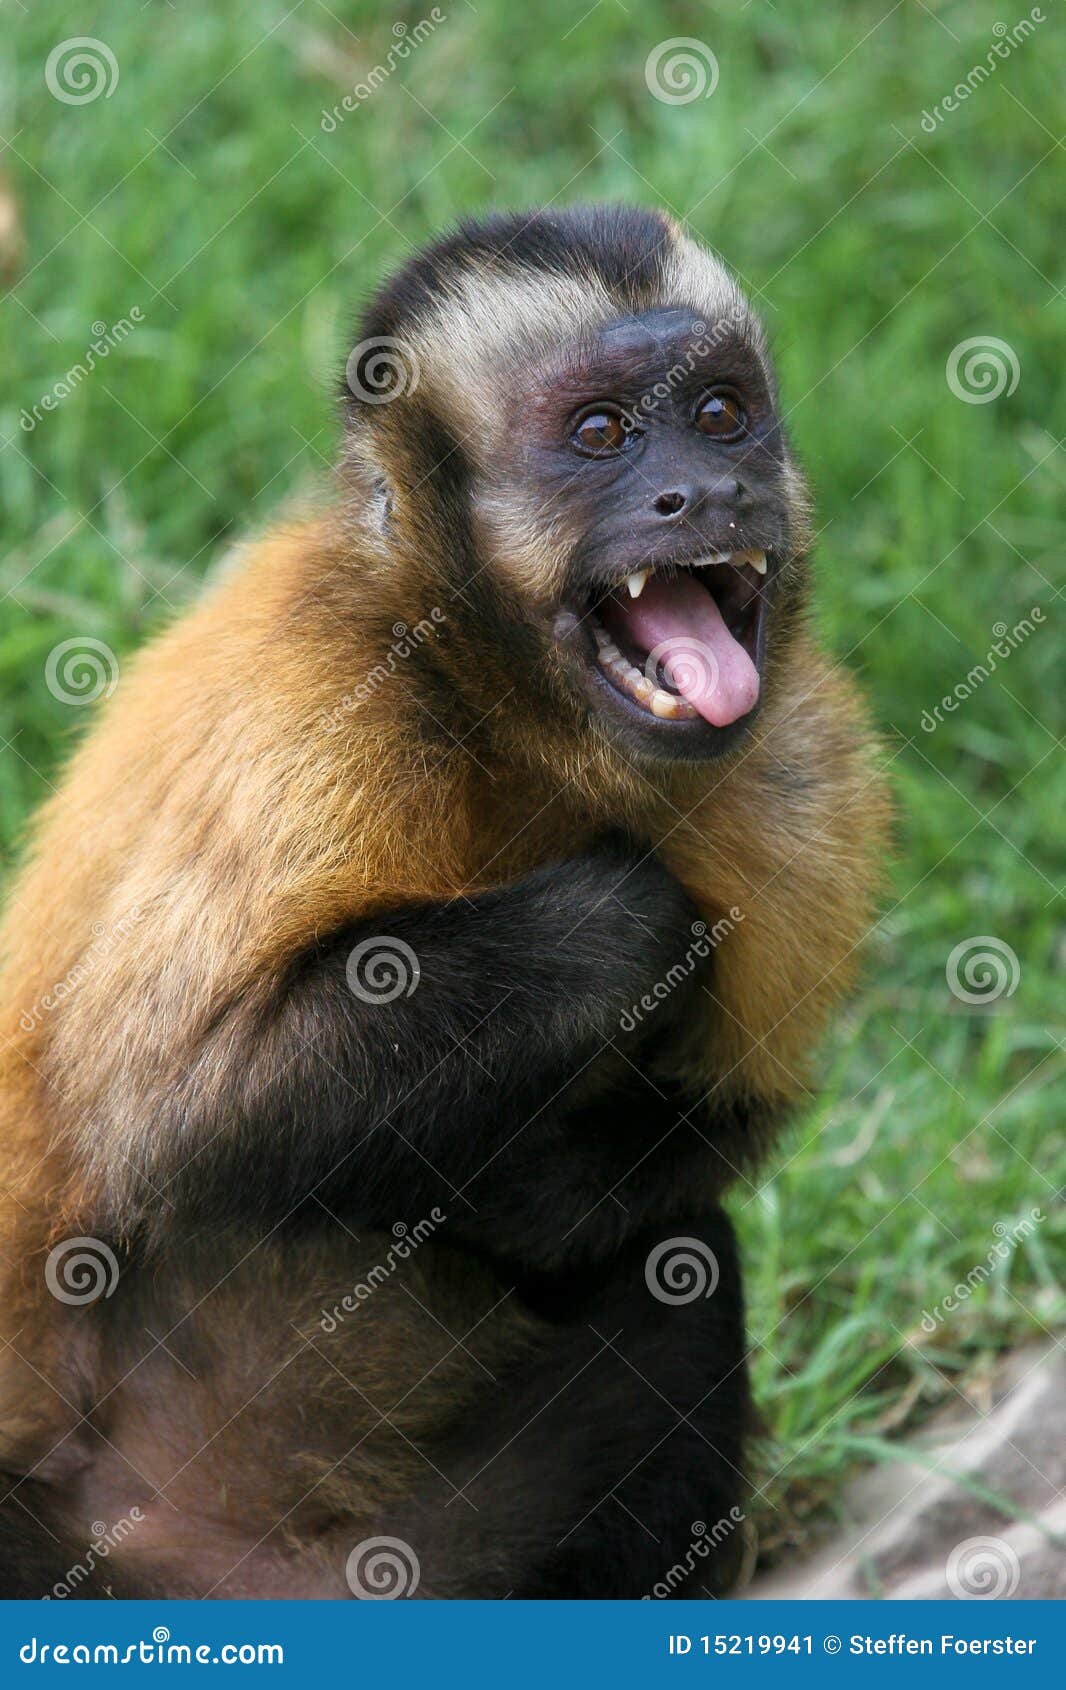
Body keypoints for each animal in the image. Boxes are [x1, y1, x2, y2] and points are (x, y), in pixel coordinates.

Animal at [0, 204, 888, 1599]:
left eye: (721, 412)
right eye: (601, 435)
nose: (709, 490)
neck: (518, 725)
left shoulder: (806, 783)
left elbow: (706, 1135)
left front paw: (520, 1196)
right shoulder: (327, 691)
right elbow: (167, 1121)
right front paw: (626, 936)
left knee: (680, 1276)